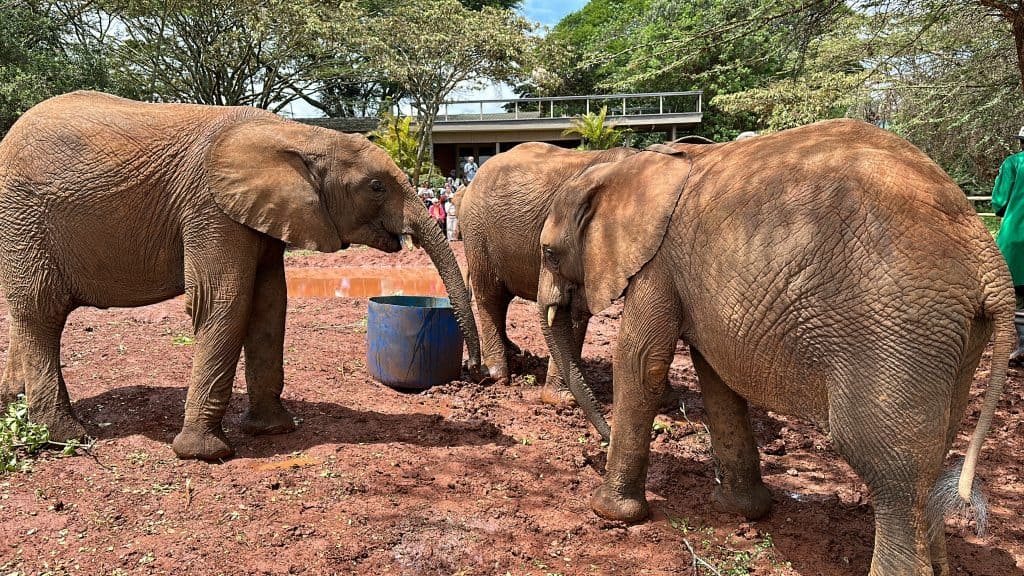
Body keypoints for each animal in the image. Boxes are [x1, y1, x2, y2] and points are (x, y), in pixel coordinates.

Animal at [0, 91, 481, 461]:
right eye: (377, 187)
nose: (476, 372)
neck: (299, 134)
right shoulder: (211, 208)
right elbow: (223, 302)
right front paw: (205, 454)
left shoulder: (261, 214)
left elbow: (270, 303)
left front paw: (274, 430)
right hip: (23, 218)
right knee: (41, 313)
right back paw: (65, 438)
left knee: (29, 315)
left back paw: (14, 403)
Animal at [536, 119, 1013, 575]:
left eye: (550, 253)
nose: (598, 441)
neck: (632, 166)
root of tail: (988, 261)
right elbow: (717, 380)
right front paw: (741, 511)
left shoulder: (659, 264)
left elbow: (641, 364)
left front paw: (609, 513)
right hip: (953, 336)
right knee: (931, 463)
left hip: (899, 325)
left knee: (893, 471)